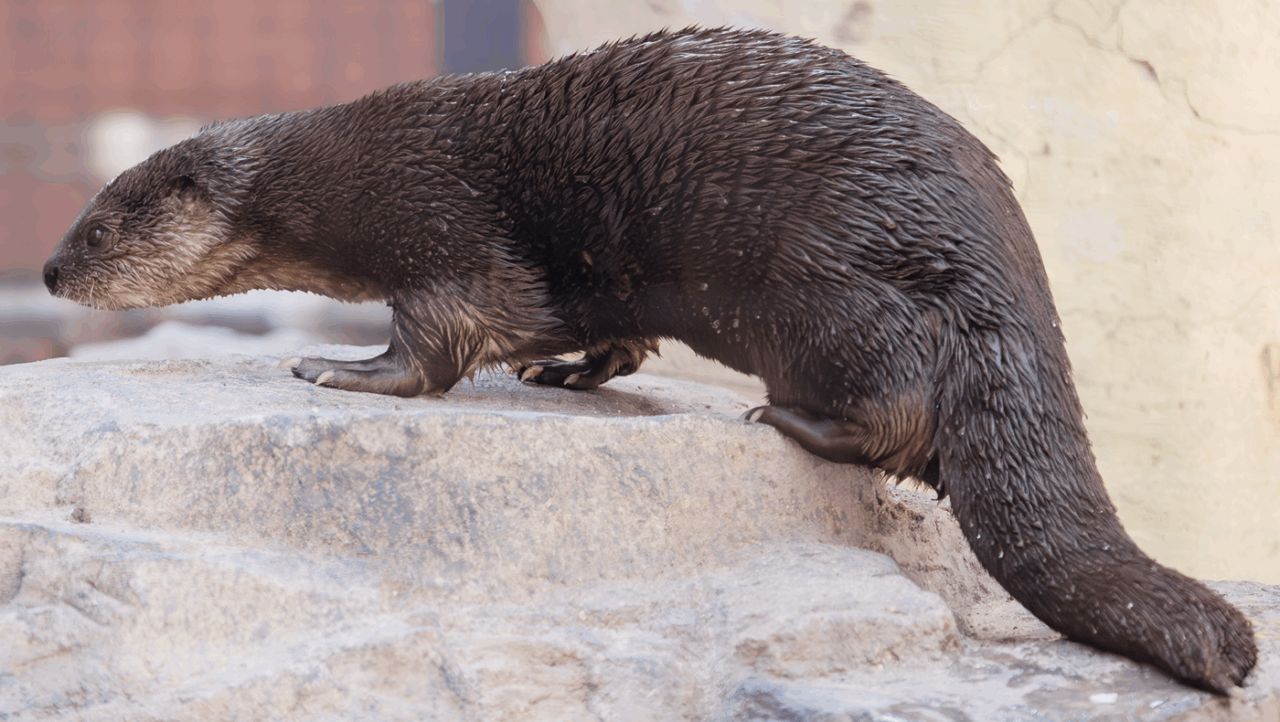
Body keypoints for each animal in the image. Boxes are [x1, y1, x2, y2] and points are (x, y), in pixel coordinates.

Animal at [43, 28, 1256, 693]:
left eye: (98, 226)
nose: (50, 272)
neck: (334, 182)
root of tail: (1005, 272)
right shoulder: (586, 278)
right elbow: (590, 333)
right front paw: (568, 374)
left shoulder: (436, 220)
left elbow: (452, 327)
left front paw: (339, 371)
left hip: (831, 285)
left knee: (899, 409)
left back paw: (786, 420)